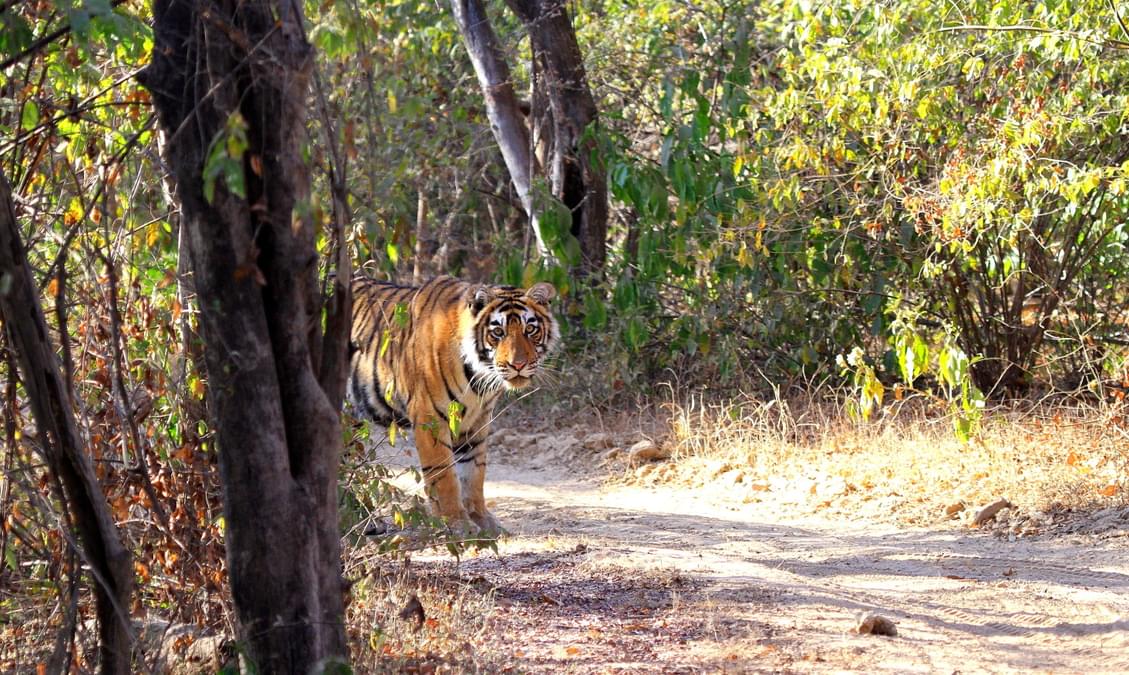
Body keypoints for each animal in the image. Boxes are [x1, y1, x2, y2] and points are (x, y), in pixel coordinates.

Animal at [348, 275, 559, 535]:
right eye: (498, 332)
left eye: (530, 329)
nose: (517, 365)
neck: (478, 377)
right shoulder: (430, 416)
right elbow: (444, 474)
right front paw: (457, 524)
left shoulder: (476, 420)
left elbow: (474, 472)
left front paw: (483, 522)